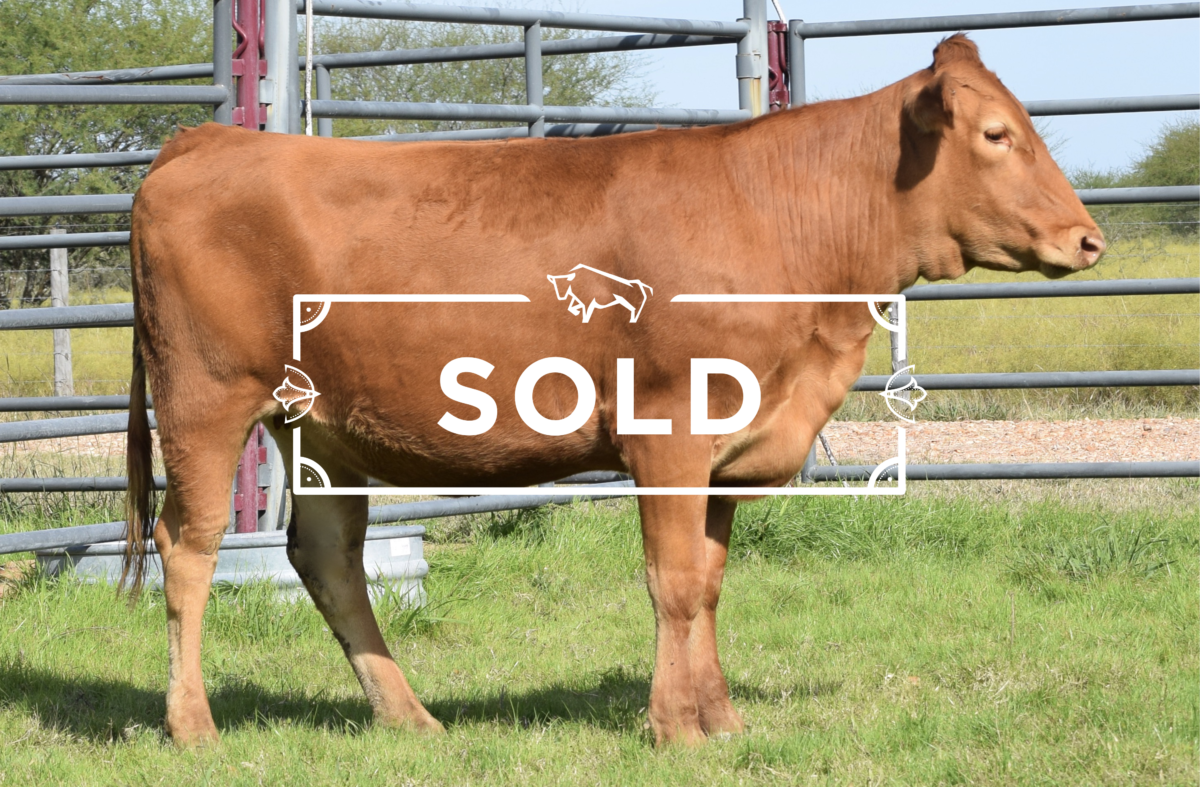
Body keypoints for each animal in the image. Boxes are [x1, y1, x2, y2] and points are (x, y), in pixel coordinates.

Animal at [122, 35, 1104, 747]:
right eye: (996, 135)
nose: (1088, 238)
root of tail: (209, 138)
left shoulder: (730, 446)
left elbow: (709, 583)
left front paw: (720, 718)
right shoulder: (668, 429)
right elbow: (671, 581)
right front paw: (673, 728)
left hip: (316, 427)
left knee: (327, 558)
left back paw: (411, 718)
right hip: (206, 400)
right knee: (188, 546)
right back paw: (193, 726)